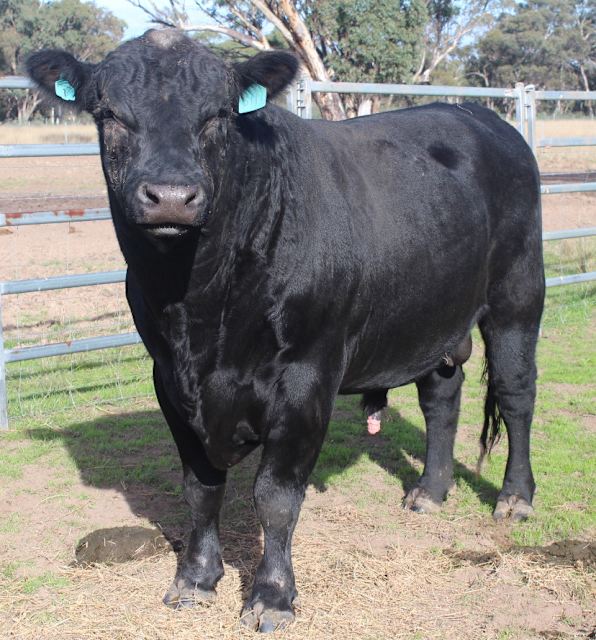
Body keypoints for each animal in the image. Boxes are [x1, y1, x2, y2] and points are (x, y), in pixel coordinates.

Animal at [27, 29, 544, 632]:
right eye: (109, 113)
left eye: (219, 114)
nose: (171, 196)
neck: (200, 313)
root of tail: (479, 116)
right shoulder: (168, 379)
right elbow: (200, 488)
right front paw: (195, 579)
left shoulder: (306, 377)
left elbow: (275, 497)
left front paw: (271, 597)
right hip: (432, 316)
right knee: (441, 397)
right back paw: (430, 491)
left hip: (518, 296)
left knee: (516, 394)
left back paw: (515, 497)